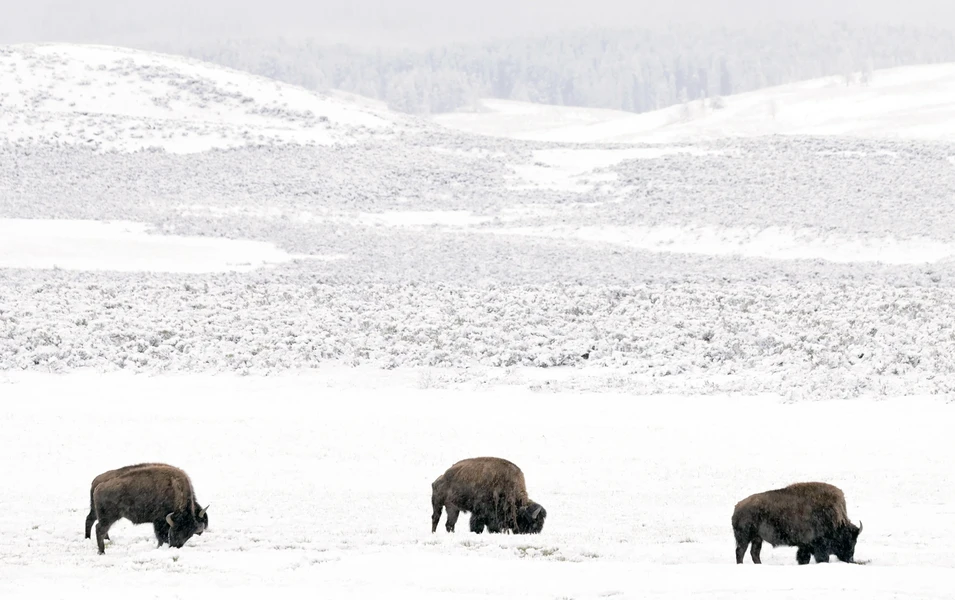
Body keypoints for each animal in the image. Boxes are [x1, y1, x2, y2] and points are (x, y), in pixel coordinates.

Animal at [732, 482, 863, 564]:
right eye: (847, 539)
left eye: (855, 540)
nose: (850, 558)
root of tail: (738, 506)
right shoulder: (818, 547)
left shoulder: (804, 546)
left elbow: (803, 558)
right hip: (744, 537)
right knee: (740, 551)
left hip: (757, 538)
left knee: (754, 553)